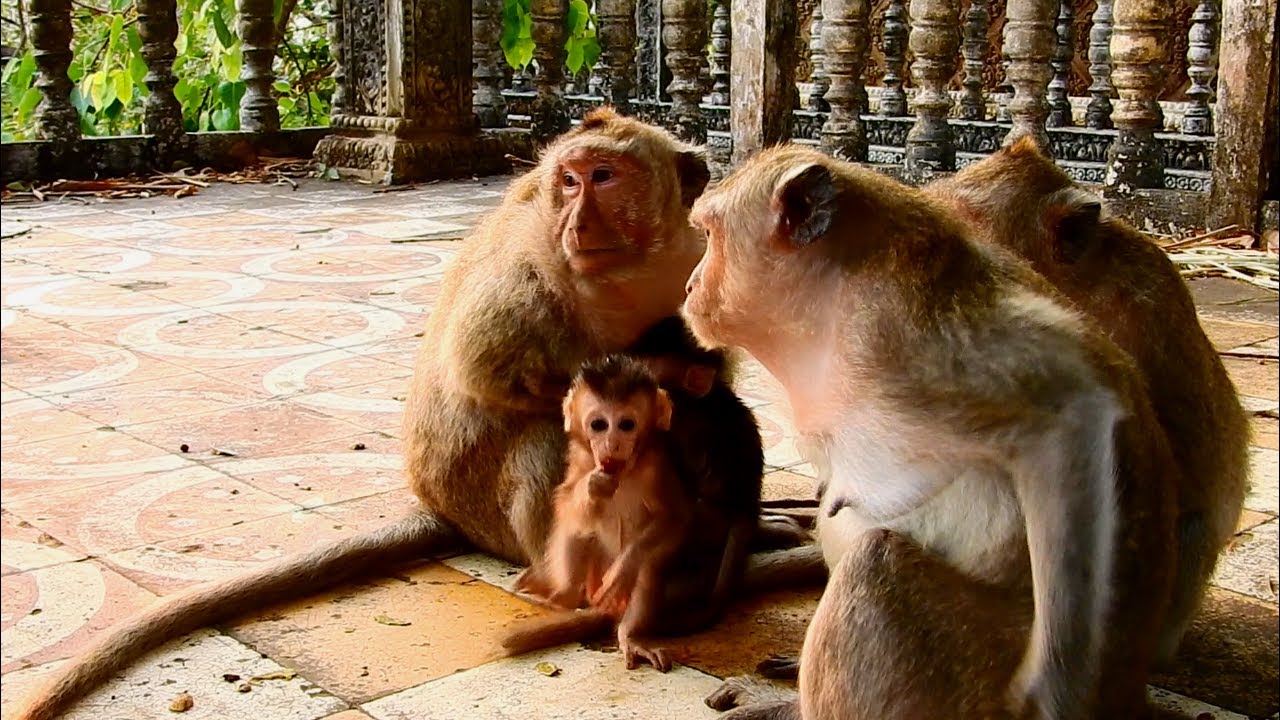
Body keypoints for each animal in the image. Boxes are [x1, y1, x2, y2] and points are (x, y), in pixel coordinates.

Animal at [505, 354, 691, 672]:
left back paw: (630, 635)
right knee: (576, 530)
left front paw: (624, 568)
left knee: (646, 571)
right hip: (590, 581)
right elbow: (566, 500)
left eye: (626, 424)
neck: (624, 472)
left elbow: (672, 516)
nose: (612, 444)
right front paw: (594, 486)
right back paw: (559, 599)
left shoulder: (657, 467)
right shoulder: (581, 459)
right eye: (599, 425)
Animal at [684, 144, 1179, 719]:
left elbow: (1077, 415)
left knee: (876, 563)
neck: (832, 308)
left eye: (711, 235)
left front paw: (1056, 687)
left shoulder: (904, 339)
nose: (690, 286)